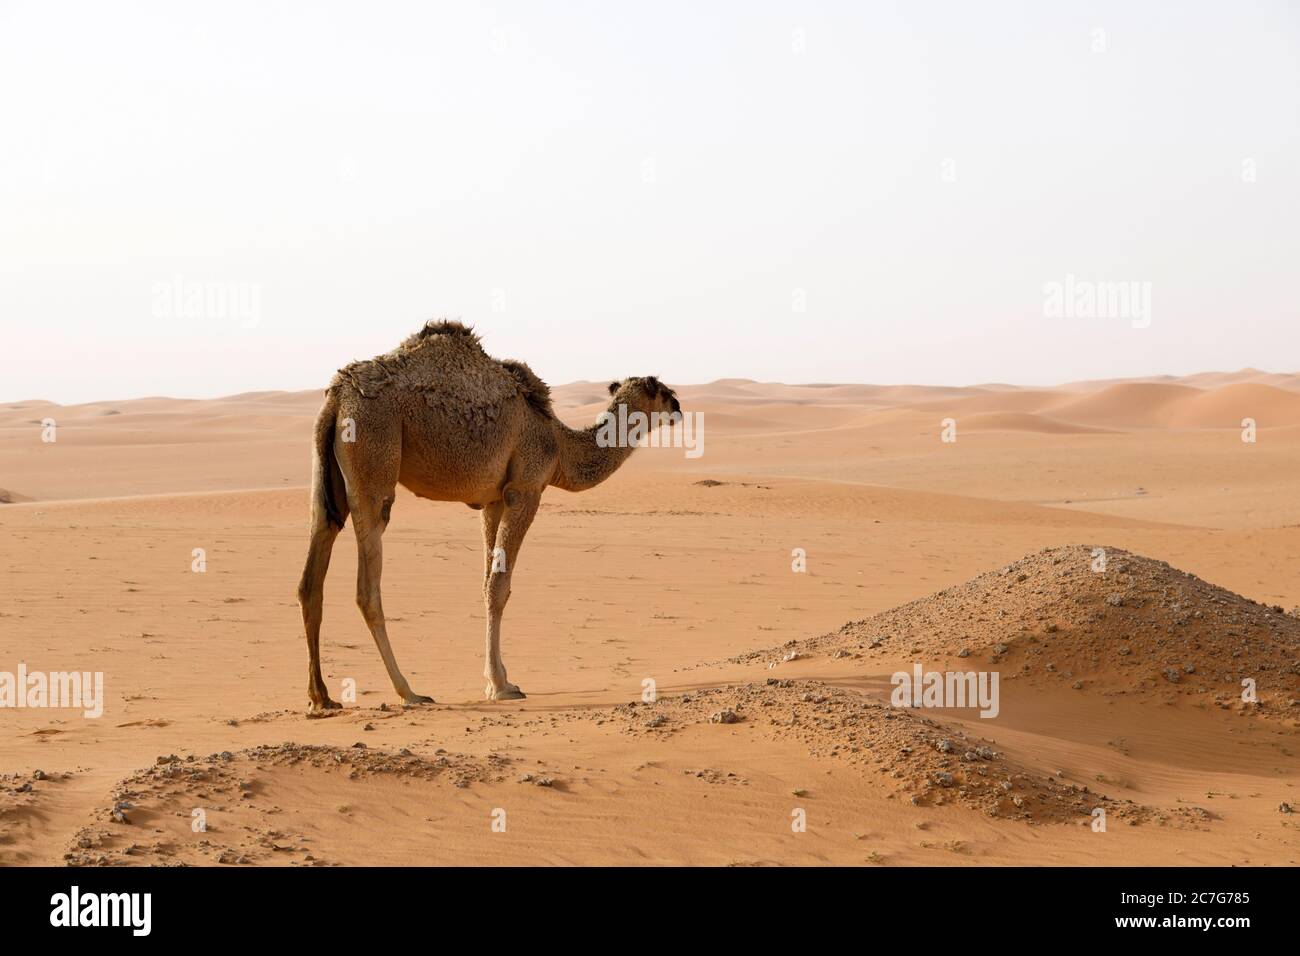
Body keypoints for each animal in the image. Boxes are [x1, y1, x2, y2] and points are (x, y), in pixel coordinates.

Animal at [296, 320, 681, 712]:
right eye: (663, 391)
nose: (679, 407)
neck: (559, 445)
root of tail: (337, 396)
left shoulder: (493, 500)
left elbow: (487, 584)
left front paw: (499, 677)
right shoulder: (525, 489)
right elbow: (499, 587)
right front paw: (501, 686)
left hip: (327, 477)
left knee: (313, 569)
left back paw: (321, 696)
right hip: (373, 457)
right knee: (367, 587)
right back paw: (409, 691)